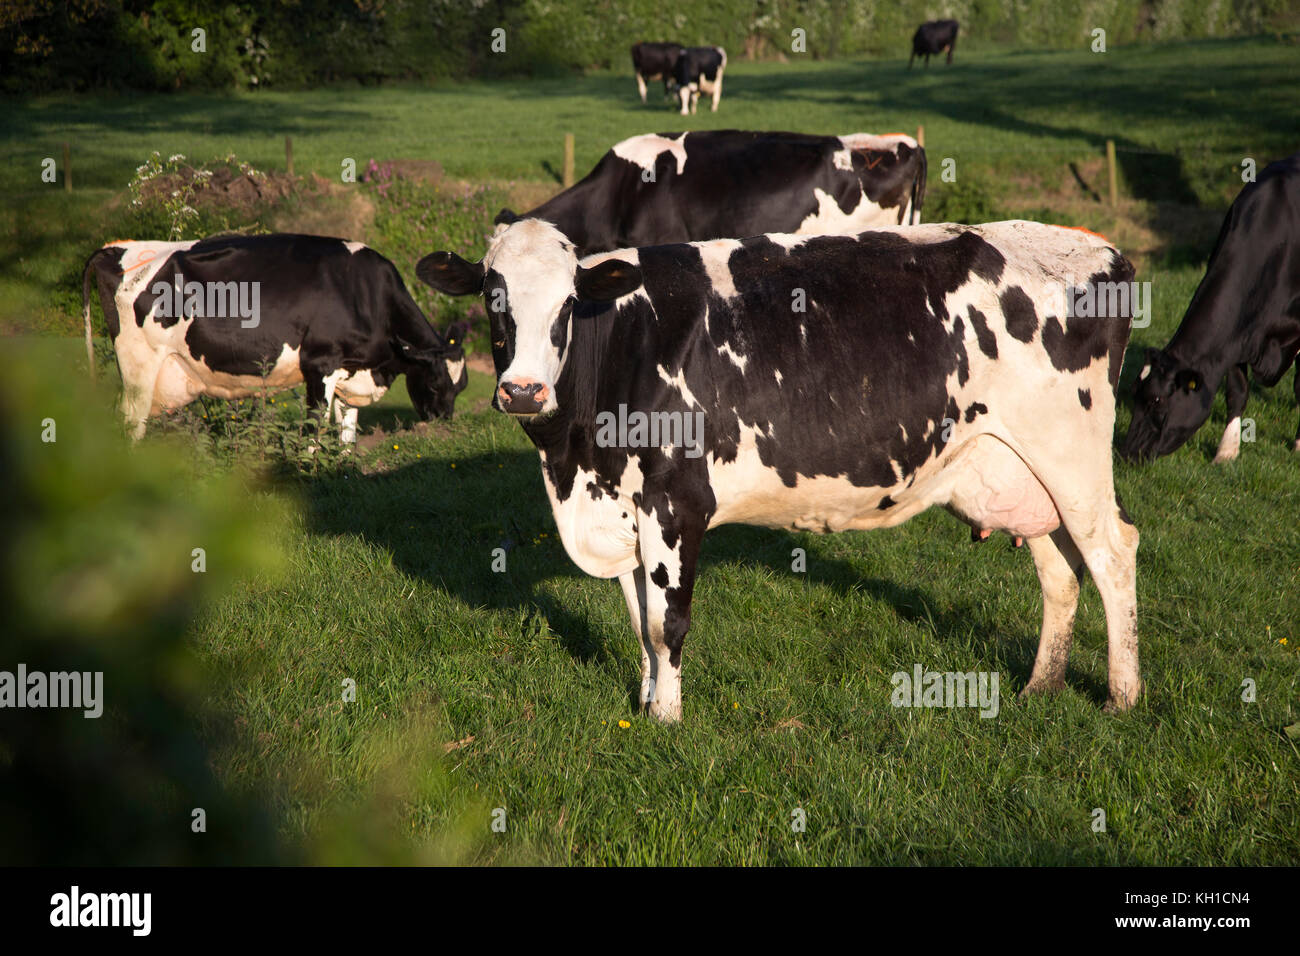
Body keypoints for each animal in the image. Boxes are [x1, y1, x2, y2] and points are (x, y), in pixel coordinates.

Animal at [81, 234, 468, 442]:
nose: (443, 424)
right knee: (130, 423)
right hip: (138, 366)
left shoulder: (351, 370)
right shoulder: (320, 364)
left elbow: (346, 433)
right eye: (433, 384)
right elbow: (314, 427)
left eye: (460, 387)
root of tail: (117, 249)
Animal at [416, 218, 1142, 722]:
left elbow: (666, 623)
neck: (574, 462)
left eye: (567, 305)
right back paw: (1040, 686)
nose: (522, 391)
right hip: (1020, 468)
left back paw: (1122, 696)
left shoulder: (676, 501)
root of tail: (1098, 249)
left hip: (1072, 456)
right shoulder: (623, 507)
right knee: (1060, 572)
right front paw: (647, 701)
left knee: (1111, 553)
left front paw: (667, 720)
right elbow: (638, 620)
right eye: (494, 301)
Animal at [1121, 152, 1300, 464]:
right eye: (1134, 394)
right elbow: (1237, 391)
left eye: (1157, 400)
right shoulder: (1238, 336)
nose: (1128, 453)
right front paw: (1227, 452)